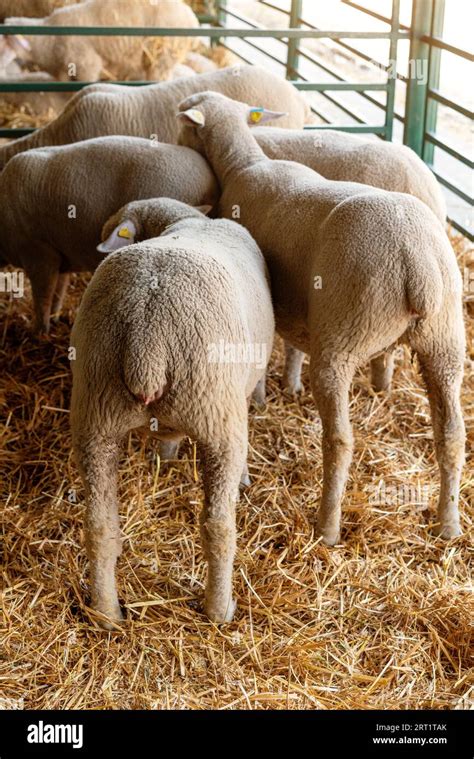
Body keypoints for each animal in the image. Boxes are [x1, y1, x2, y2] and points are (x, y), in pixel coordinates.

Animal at [0, 135, 218, 333]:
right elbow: (58, 291)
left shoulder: (38, 252)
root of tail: (210, 178)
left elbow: (42, 296)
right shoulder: (58, 253)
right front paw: (53, 318)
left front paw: (39, 331)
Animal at [70, 198, 275, 626]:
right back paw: (220, 610)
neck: (186, 221)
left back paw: (107, 613)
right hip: (216, 415)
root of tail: (147, 336)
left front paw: (164, 455)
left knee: (98, 527)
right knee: (218, 527)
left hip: (96, 414)